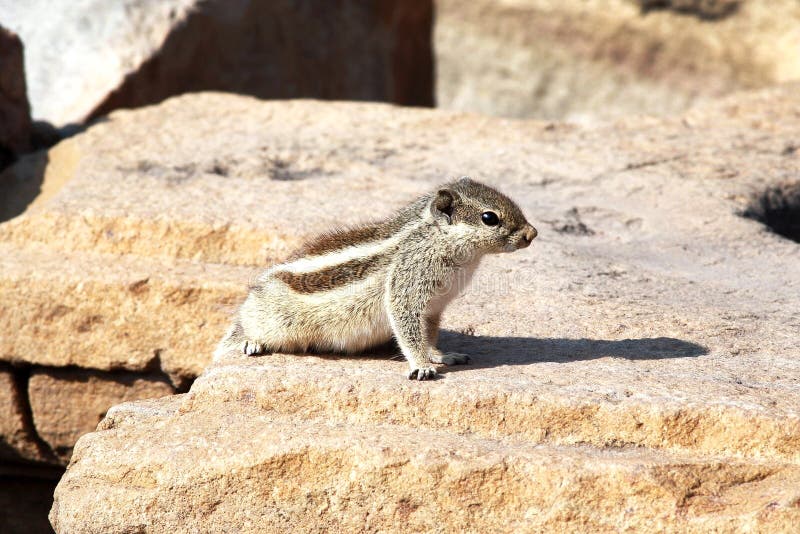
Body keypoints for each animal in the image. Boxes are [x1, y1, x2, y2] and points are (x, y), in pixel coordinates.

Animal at [214, 177, 537, 380]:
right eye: (489, 218)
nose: (532, 233)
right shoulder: (407, 289)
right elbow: (409, 330)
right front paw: (421, 366)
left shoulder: (434, 308)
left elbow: (429, 334)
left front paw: (440, 356)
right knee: (242, 331)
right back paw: (251, 342)